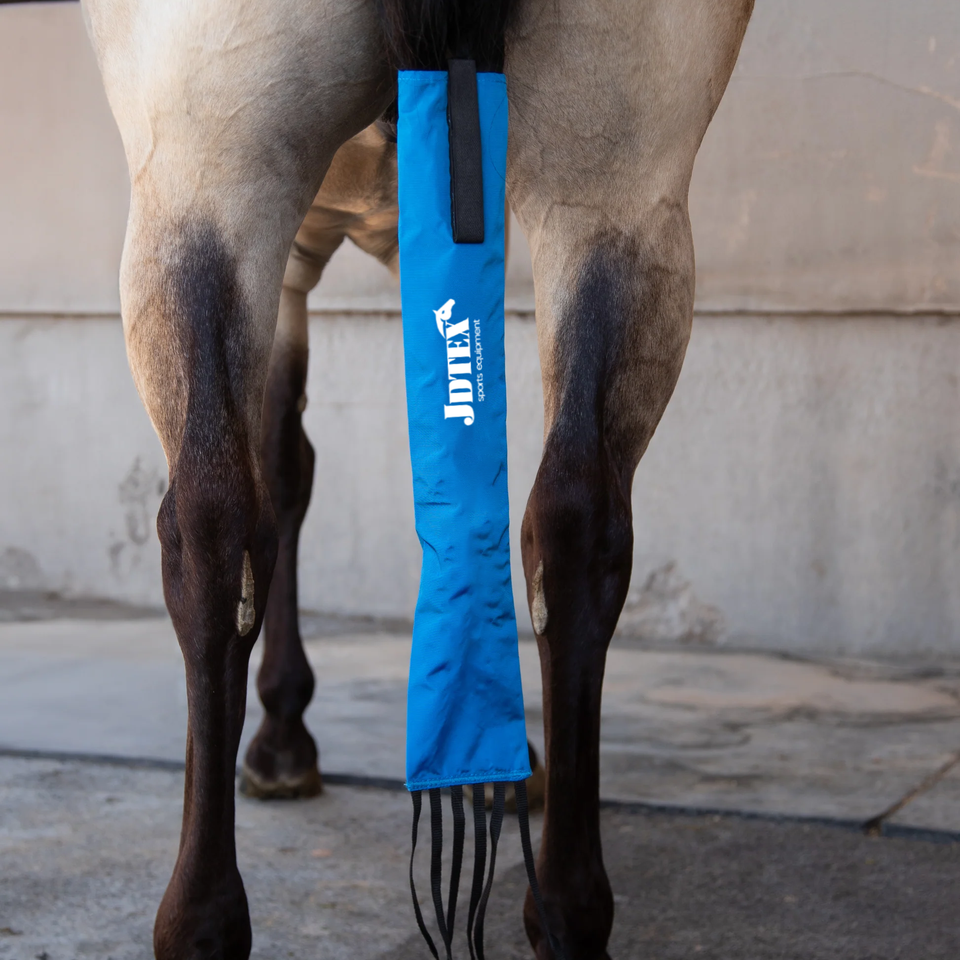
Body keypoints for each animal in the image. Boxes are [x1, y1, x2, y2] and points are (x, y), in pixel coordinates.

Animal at [76, 0, 755, 956]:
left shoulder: (298, 247)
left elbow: (282, 476)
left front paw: (284, 729)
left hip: (209, 167)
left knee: (210, 529)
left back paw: (200, 918)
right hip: (617, 179)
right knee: (576, 519)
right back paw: (568, 909)